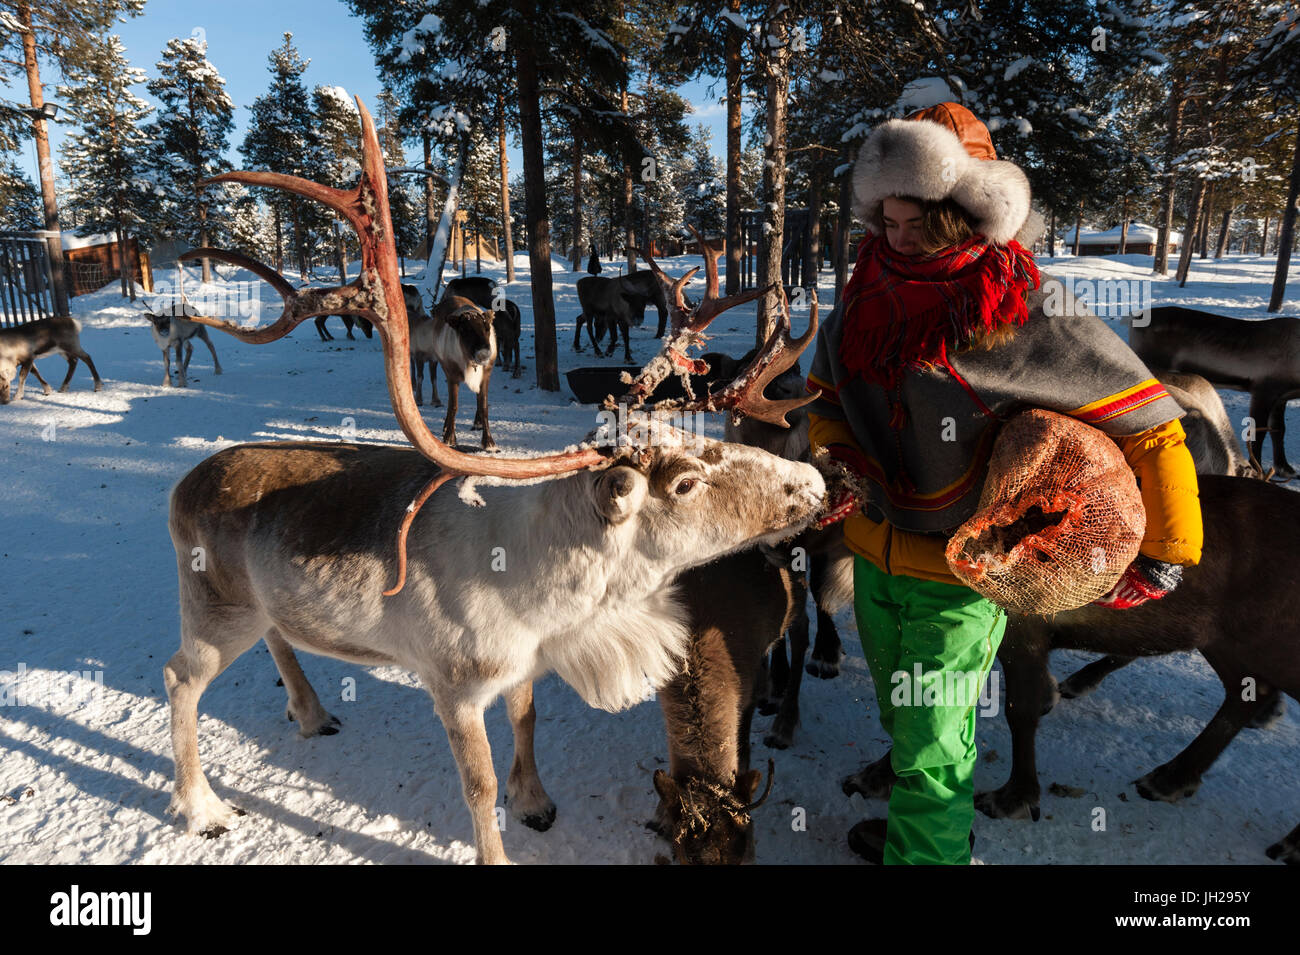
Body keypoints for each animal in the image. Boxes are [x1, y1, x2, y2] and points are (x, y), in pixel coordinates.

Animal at [163, 101, 826, 866]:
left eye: (698, 437)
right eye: (686, 482)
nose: (812, 480)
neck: (549, 596)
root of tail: (180, 487)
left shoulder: (526, 666)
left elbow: (528, 726)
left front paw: (535, 801)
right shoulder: (453, 686)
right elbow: (478, 789)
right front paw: (498, 843)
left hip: (257, 605)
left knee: (278, 635)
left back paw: (312, 711)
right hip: (212, 608)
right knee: (180, 678)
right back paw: (202, 806)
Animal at [1128, 305, 1300, 478]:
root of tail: (1136, 318)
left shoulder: (1281, 397)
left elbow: (1278, 430)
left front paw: (1285, 468)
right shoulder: (1263, 391)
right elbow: (1257, 432)